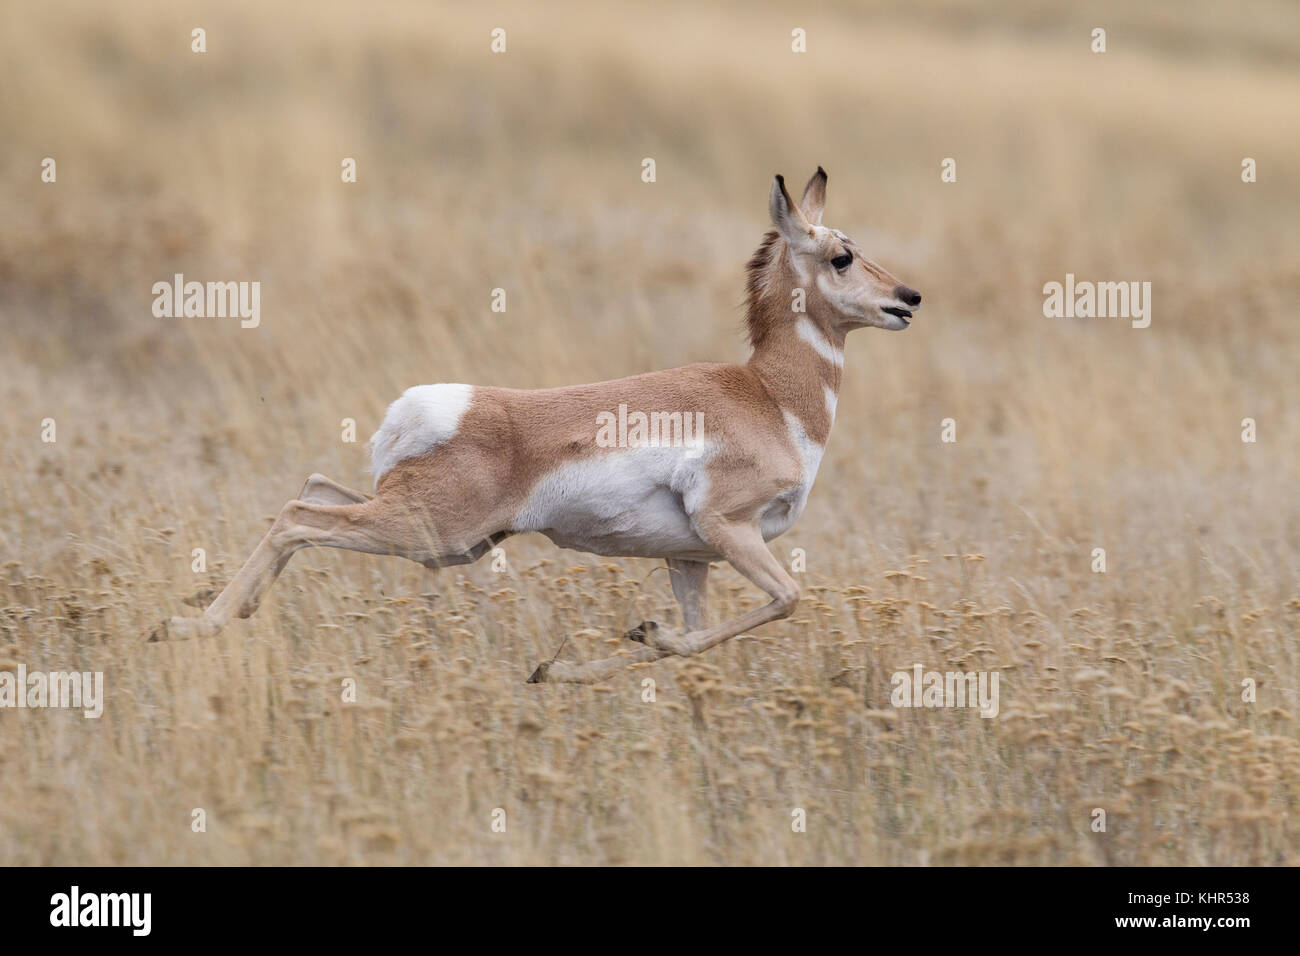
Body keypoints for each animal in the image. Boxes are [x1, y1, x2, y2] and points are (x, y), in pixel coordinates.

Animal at [150, 167, 922, 684]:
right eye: (841, 255)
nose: (909, 297)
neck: (768, 396)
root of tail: (433, 408)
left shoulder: (691, 558)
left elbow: (692, 637)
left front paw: (586, 660)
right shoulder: (728, 529)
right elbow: (788, 599)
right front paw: (639, 641)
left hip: (445, 538)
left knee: (311, 492)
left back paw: (198, 607)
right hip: (430, 532)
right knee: (296, 515)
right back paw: (186, 623)